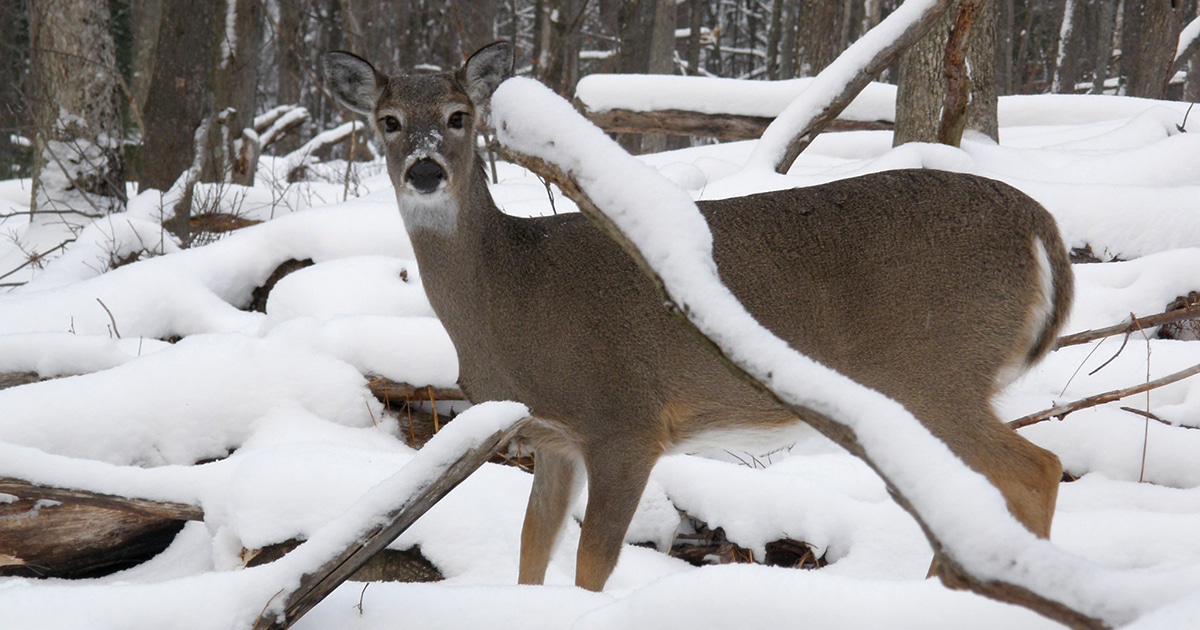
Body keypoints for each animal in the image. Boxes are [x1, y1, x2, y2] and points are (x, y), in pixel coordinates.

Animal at [322, 41, 1074, 593]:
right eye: (388, 121)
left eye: (459, 115)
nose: (424, 172)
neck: (512, 296)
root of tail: (1043, 226)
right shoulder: (553, 436)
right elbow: (530, 557)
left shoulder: (625, 419)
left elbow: (591, 566)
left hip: (936, 368)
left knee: (1037, 466)